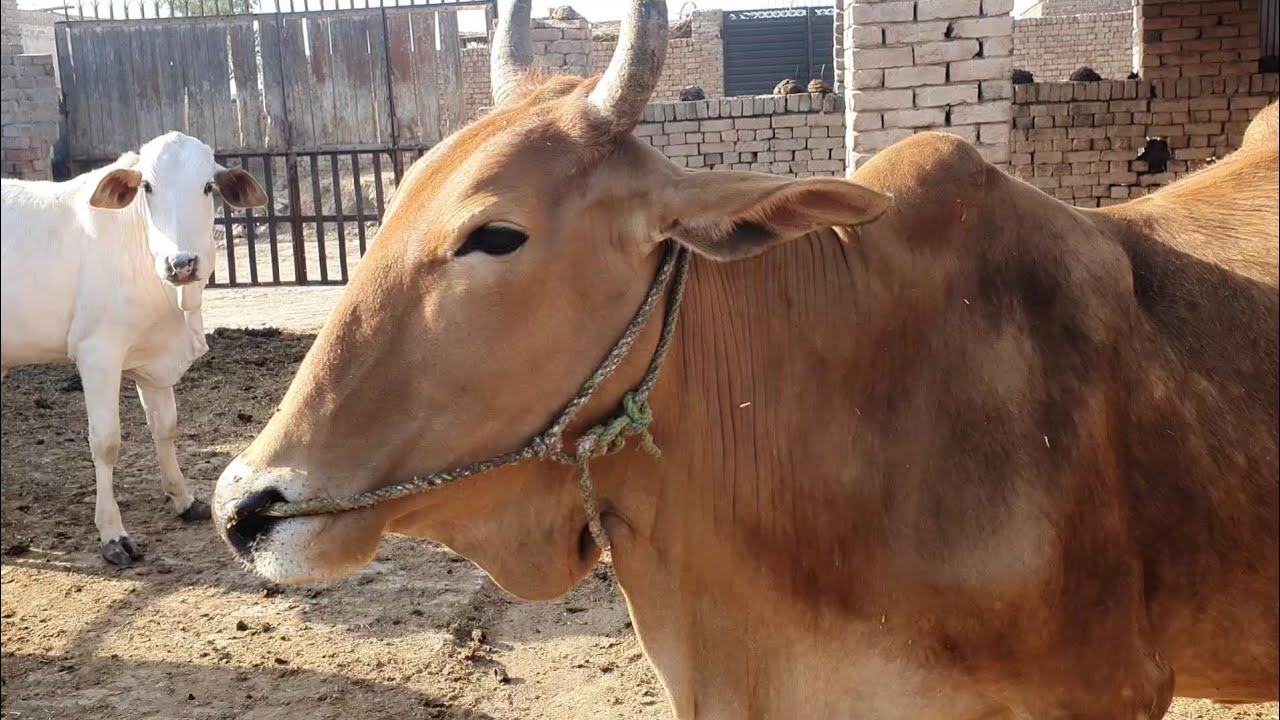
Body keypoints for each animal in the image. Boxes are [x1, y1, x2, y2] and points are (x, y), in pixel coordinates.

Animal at [2, 131, 266, 566]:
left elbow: (165, 427)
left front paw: (183, 499)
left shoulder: (153, 361)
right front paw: (112, 534)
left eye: (207, 187)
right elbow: (106, 442)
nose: (182, 263)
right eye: (147, 187)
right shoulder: (97, 354)